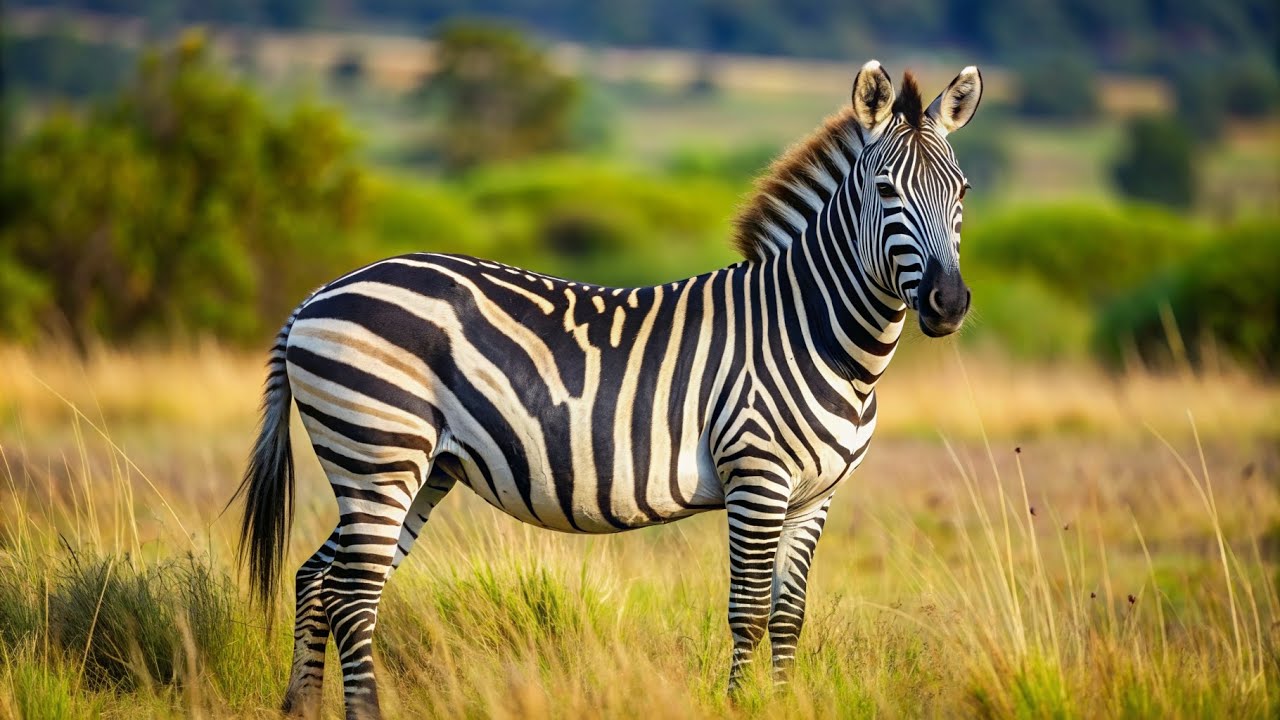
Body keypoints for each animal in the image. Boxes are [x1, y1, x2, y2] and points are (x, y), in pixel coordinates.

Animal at [232, 60, 982, 719]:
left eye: (964, 192)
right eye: (884, 190)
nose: (948, 303)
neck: (816, 332)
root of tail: (319, 295)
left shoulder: (815, 496)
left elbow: (789, 615)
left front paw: (783, 702)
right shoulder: (756, 476)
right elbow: (748, 612)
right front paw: (743, 706)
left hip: (412, 467)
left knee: (317, 579)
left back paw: (301, 707)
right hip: (378, 451)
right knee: (352, 594)